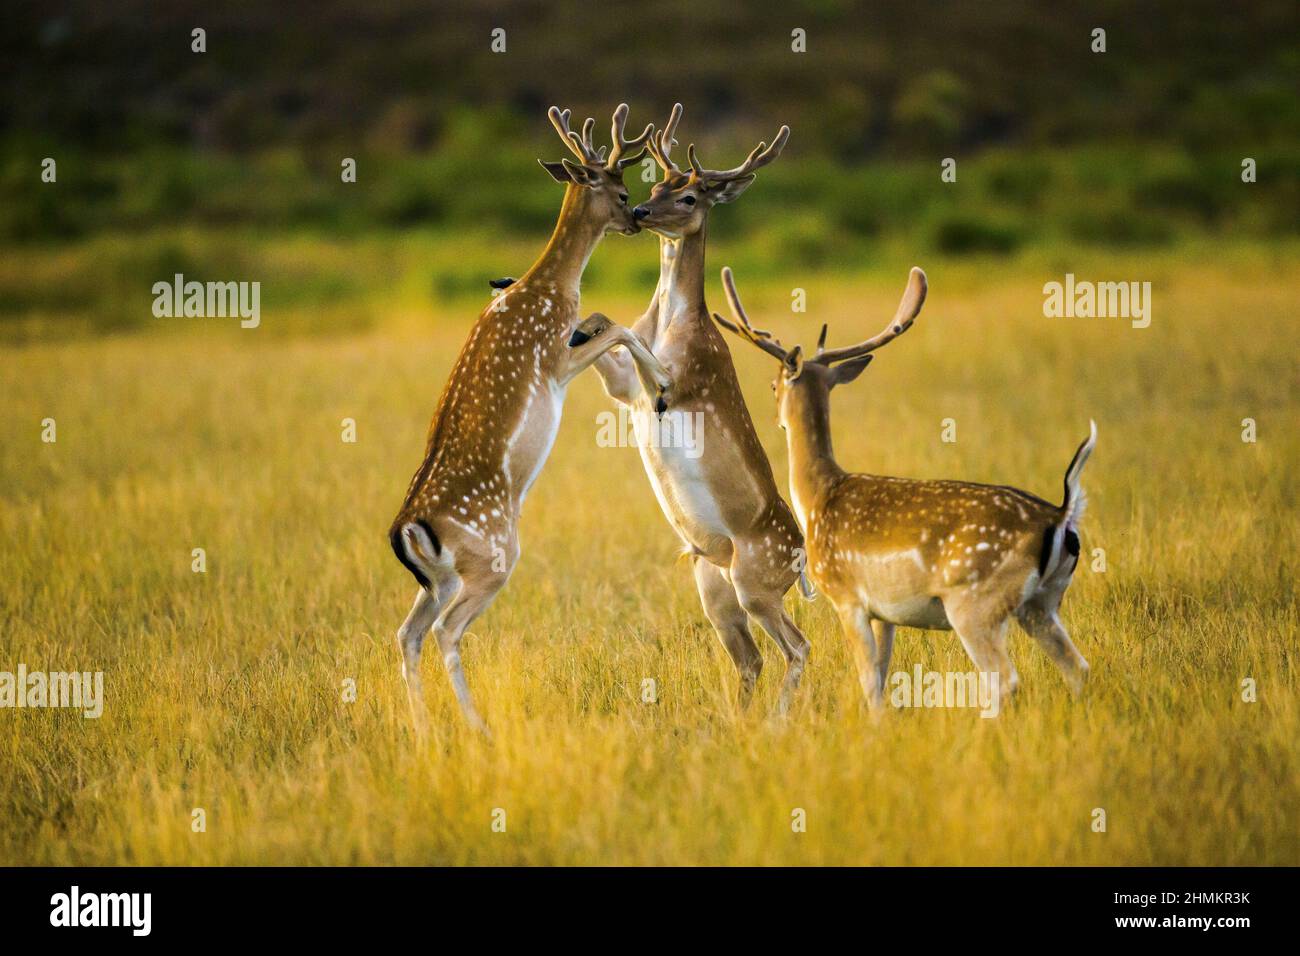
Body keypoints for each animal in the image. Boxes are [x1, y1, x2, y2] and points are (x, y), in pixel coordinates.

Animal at [389, 104, 673, 734]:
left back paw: (422, 730)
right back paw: (477, 726)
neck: (549, 287)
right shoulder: (555, 361)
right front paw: (663, 381)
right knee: (445, 632)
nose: (637, 220)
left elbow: (602, 318)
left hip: (438, 579)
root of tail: (407, 531)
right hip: (493, 557)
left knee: (407, 633)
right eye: (622, 191)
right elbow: (616, 325)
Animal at [566, 104, 812, 713]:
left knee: (798, 647)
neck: (671, 322)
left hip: (755, 582)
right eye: (657, 183)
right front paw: (573, 330)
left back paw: (776, 721)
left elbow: (633, 343)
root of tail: (802, 562)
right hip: (713, 586)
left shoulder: (684, 380)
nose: (640, 210)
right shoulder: (623, 391)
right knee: (751, 658)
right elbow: (607, 324)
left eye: (692, 196)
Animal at [713, 265, 1095, 710]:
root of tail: (1062, 516)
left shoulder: (848, 598)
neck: (818, 498)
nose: (774, 413)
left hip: (975, 602)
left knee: (1004, 677)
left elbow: (868, 683)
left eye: (774, 385)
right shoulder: (887, 614)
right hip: (1044, 602)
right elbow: (881, 677)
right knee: (1077, 667)